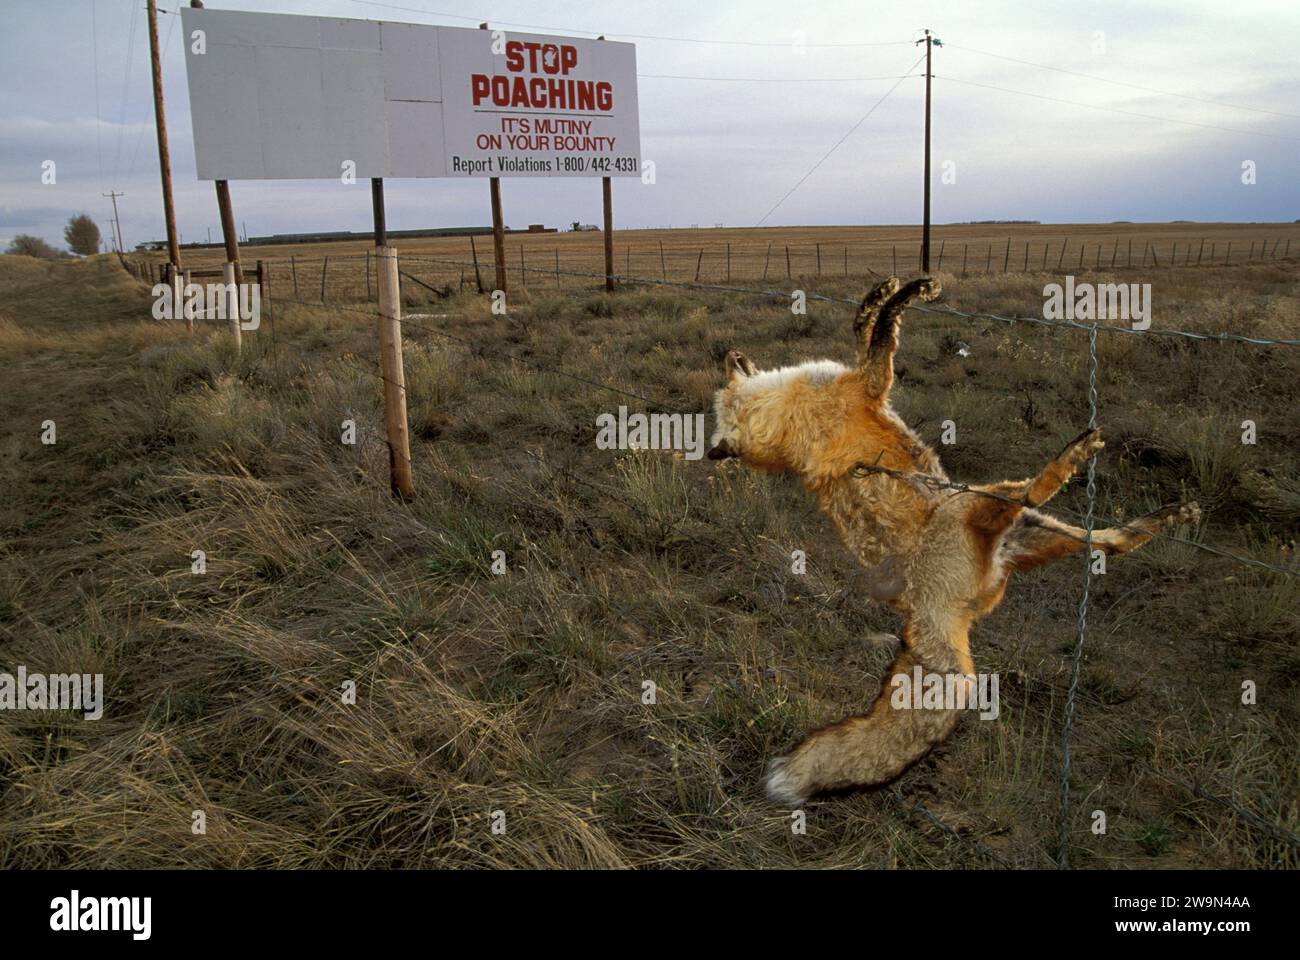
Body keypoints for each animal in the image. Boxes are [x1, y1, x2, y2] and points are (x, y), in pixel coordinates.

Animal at [707, 276, 1200, 806]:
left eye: (727, 381)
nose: (730, 351)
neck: (785, 417)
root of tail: (927, 612)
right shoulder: (870, 383)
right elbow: (884, 333)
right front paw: (910, 292)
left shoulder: (865, 384)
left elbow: (864, 327)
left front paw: (878, 294)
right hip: (977, 503)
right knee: (1035, 493)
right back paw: (1073, 456)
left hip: (1035, 530)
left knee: (1109, 543)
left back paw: (1166, 517)